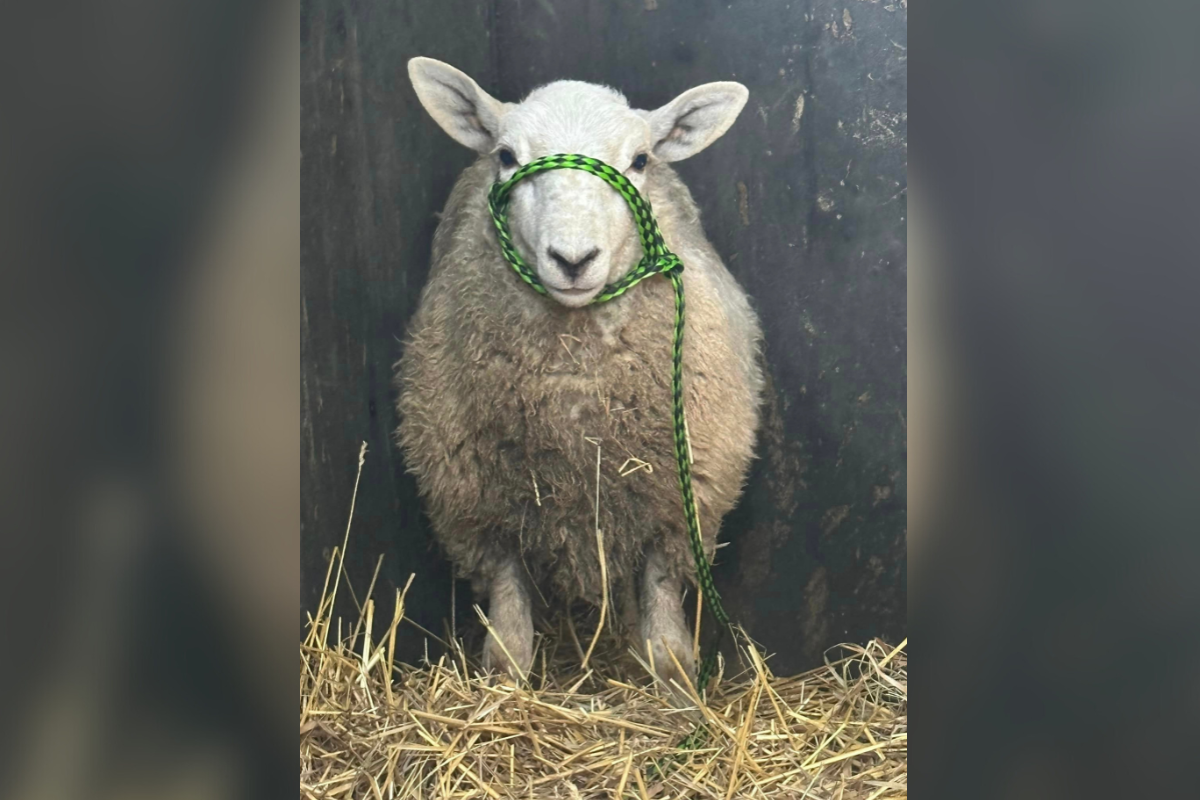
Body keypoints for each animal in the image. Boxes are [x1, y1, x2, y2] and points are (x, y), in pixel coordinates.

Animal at [395, 57, 764, 689]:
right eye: (506, 156)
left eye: (639, 160)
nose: (572, 260)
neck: (574, 387)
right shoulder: (481, 511)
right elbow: (509, 639)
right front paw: (505, 692)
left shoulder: (675, 508)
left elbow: (666, 634)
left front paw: (677, 695)